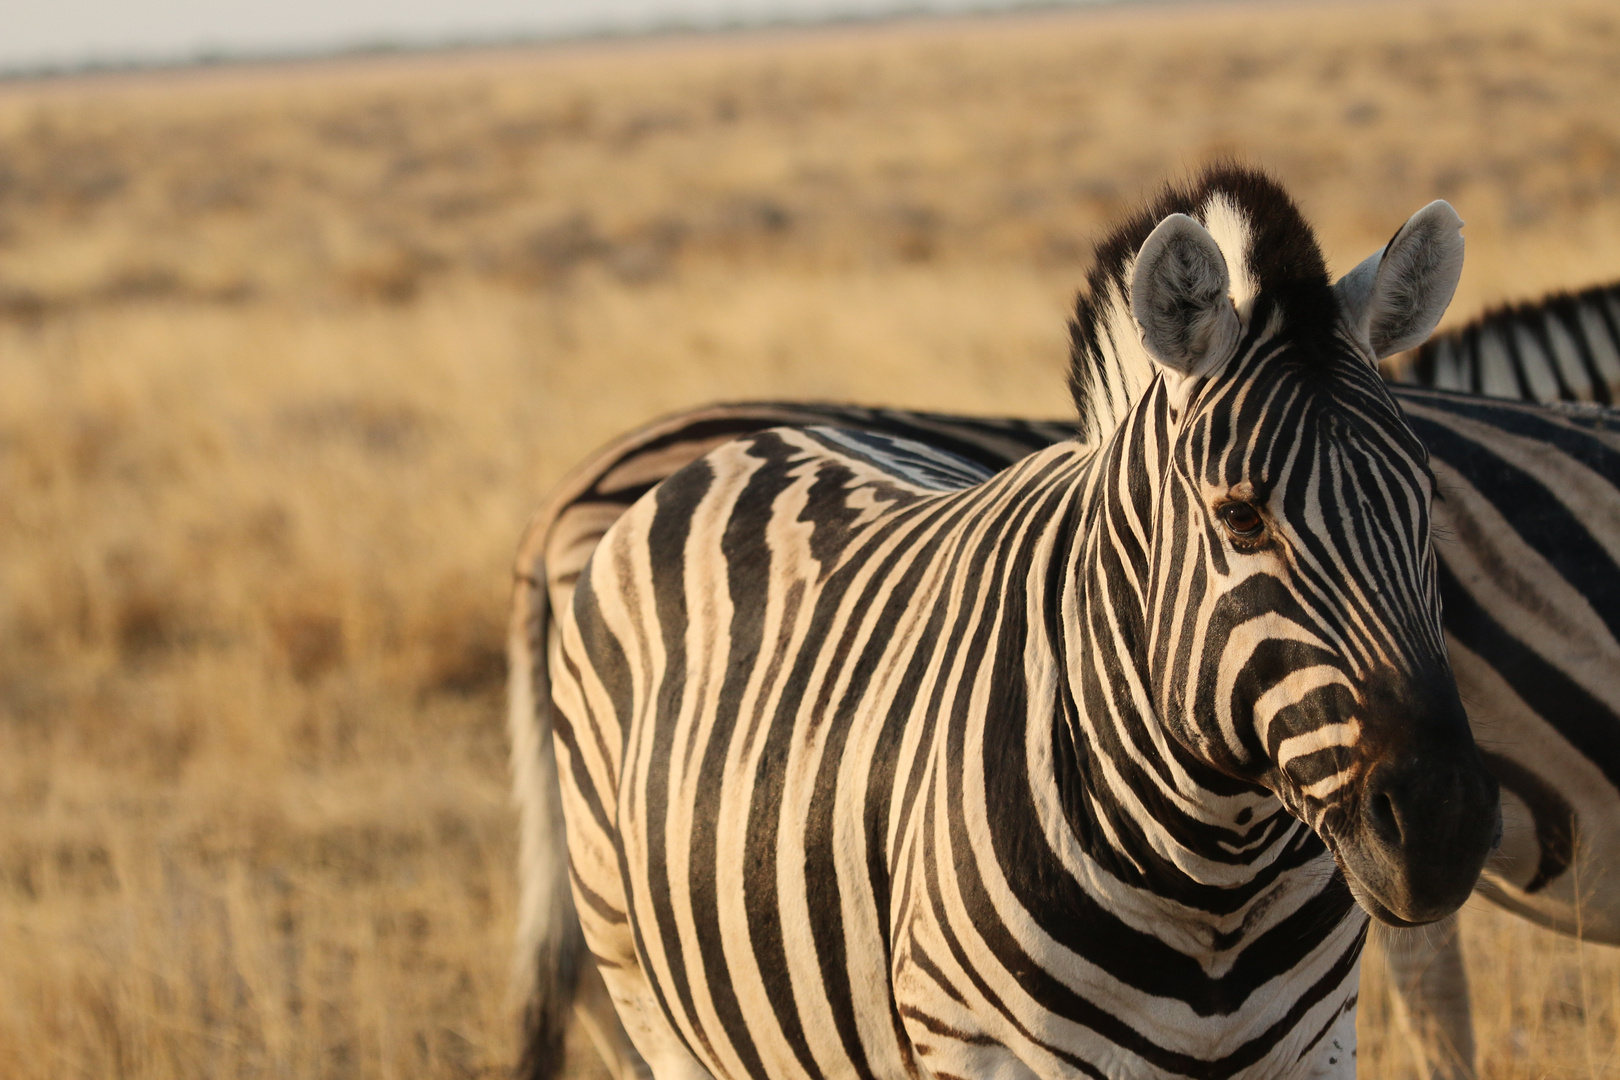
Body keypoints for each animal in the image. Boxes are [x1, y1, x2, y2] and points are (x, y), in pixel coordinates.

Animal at [515, 165, 1503, 1080]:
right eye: (1240, 518)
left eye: (1427, 501)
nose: (1444, 827)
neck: (1213, 883)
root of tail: (751, 443)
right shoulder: (978, 1048)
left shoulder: (1321, 1044)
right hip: (640, 974)